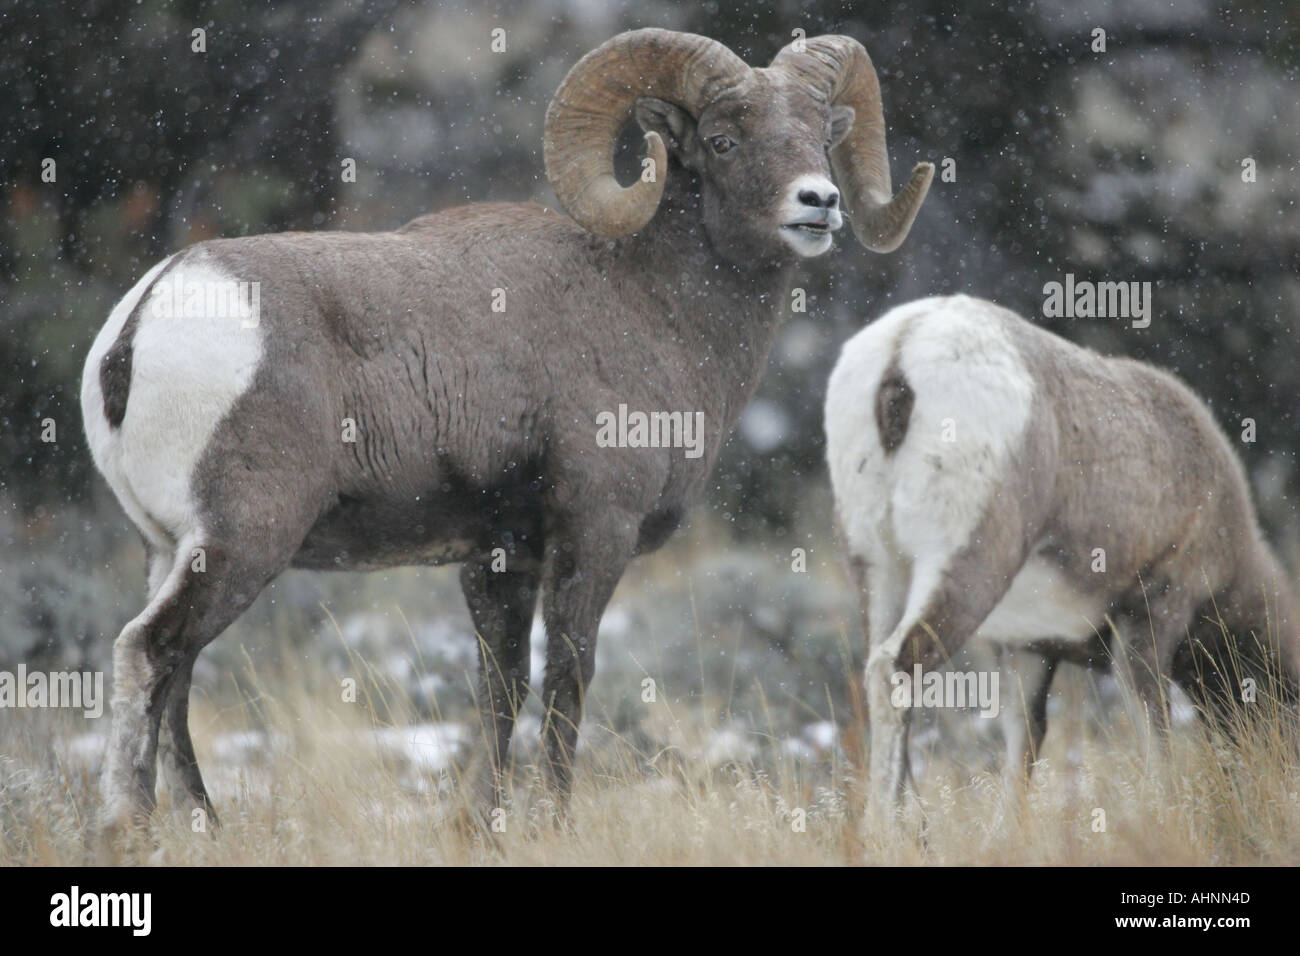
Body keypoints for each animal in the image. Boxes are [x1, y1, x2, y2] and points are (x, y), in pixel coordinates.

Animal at [80, 27, 933, 838]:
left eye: (820, 136)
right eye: (723, 140)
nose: (818, 202)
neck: (653, 305)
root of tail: (145, 320)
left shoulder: (499, 558)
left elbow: (501, 685)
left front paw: (481, 825)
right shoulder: (594, 531)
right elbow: (567, 677)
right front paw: (553, 822)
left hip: (169, 549)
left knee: (177, 675)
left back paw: (201, 824)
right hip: (242, 542)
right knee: (151, 653)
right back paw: (131, 825)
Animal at [824, 294, 1299, 812]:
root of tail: (903, 348)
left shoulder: (1026, 650)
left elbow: (1024, 747)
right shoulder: (1153, 615)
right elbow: (1154, 733)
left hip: (879, 571)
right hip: (965, 567)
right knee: (896, 670)